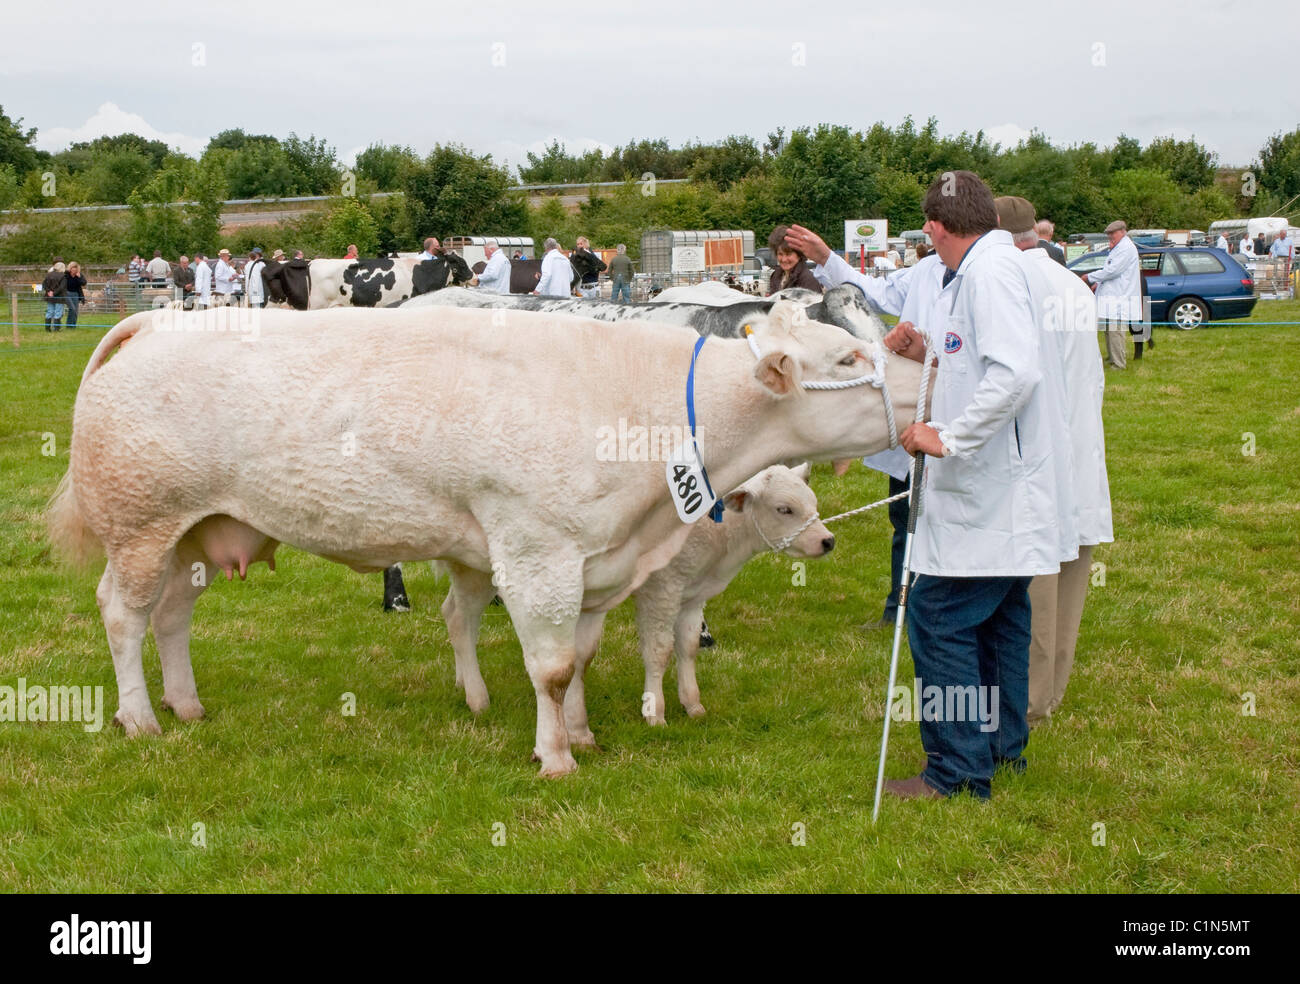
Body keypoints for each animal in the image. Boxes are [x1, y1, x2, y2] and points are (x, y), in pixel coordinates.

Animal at [441, 463, 833, 732]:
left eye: (812, 501)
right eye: (784, 509)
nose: (827, 540)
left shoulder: (692, 596)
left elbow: (688, 646)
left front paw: (693, 704)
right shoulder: (661, 589)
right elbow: (658, 650)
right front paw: (655, 712)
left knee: (454, 614)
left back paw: (462, 681)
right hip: (477, 572)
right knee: (461, 620)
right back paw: (478, 698)